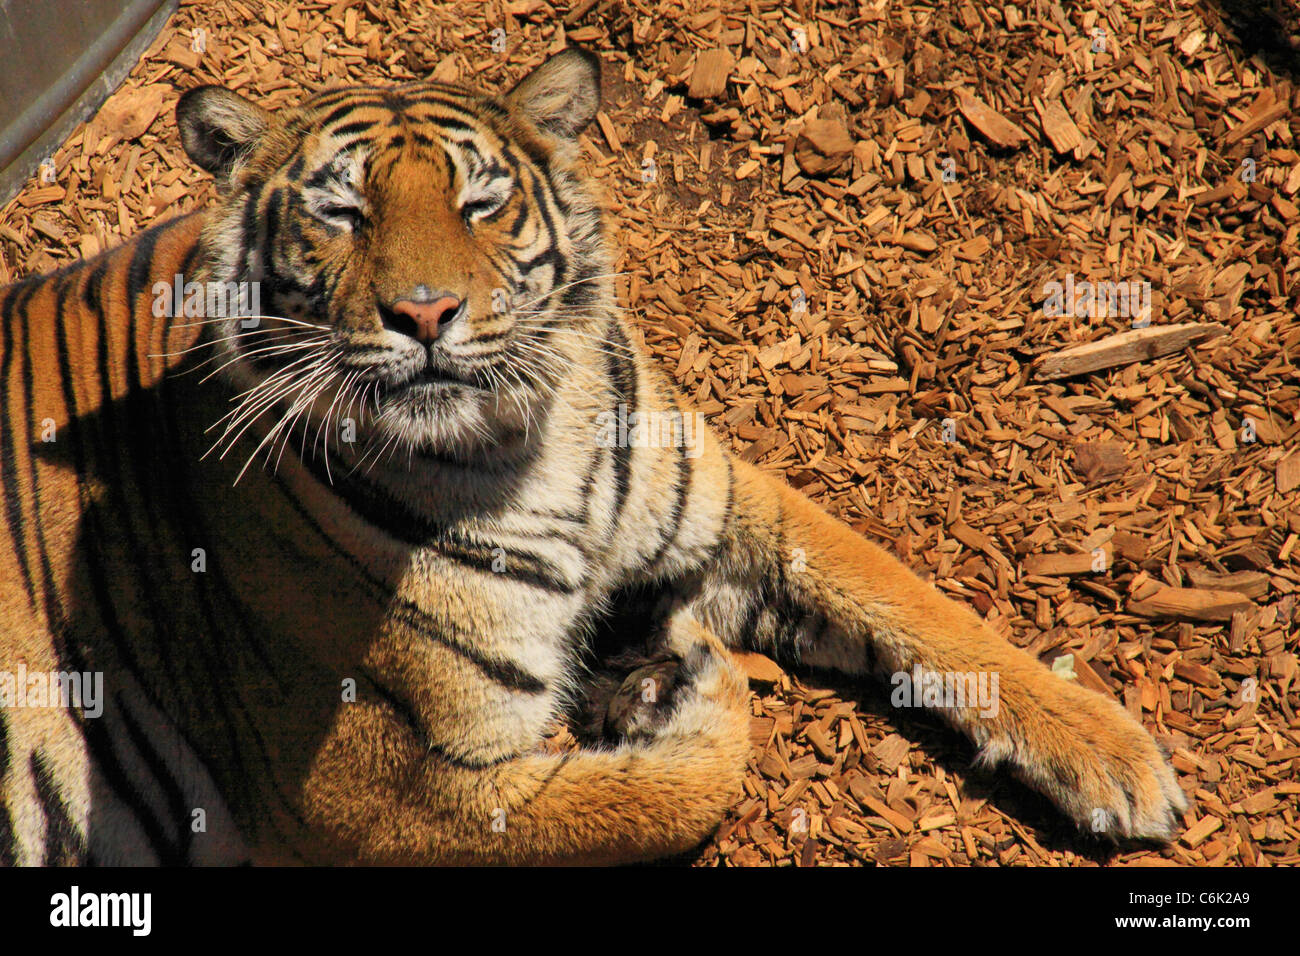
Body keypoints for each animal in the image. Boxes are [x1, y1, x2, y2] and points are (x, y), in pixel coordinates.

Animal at [0, 46, 1185, 868]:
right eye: (340, 212)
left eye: (480, 202)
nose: (423, 313)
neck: (523, 444)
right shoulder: (371, 791)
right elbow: (660, 795)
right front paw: (687, 699)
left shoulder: (729, 507)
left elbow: (911, 600)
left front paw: (1119, 756)